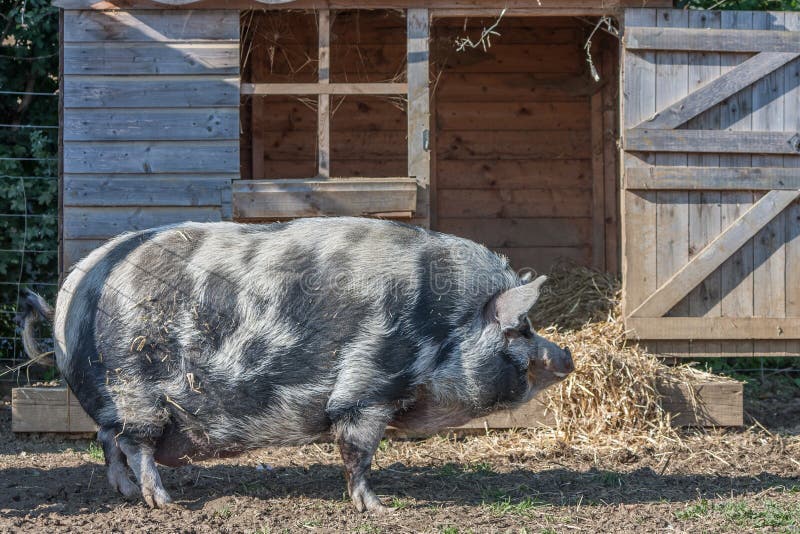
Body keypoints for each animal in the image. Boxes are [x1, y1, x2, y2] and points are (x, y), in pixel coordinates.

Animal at [17, 217, 573, 512]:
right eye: (521, 329)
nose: (566, 355)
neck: (442, 329)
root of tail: (71, 288)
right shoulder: (368, 383)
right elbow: (356, 451)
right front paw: (377, 508)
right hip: (135, 388)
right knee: (135, 446)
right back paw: (164, 502)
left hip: (116, 400)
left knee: (107, 441)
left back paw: (129, 494)